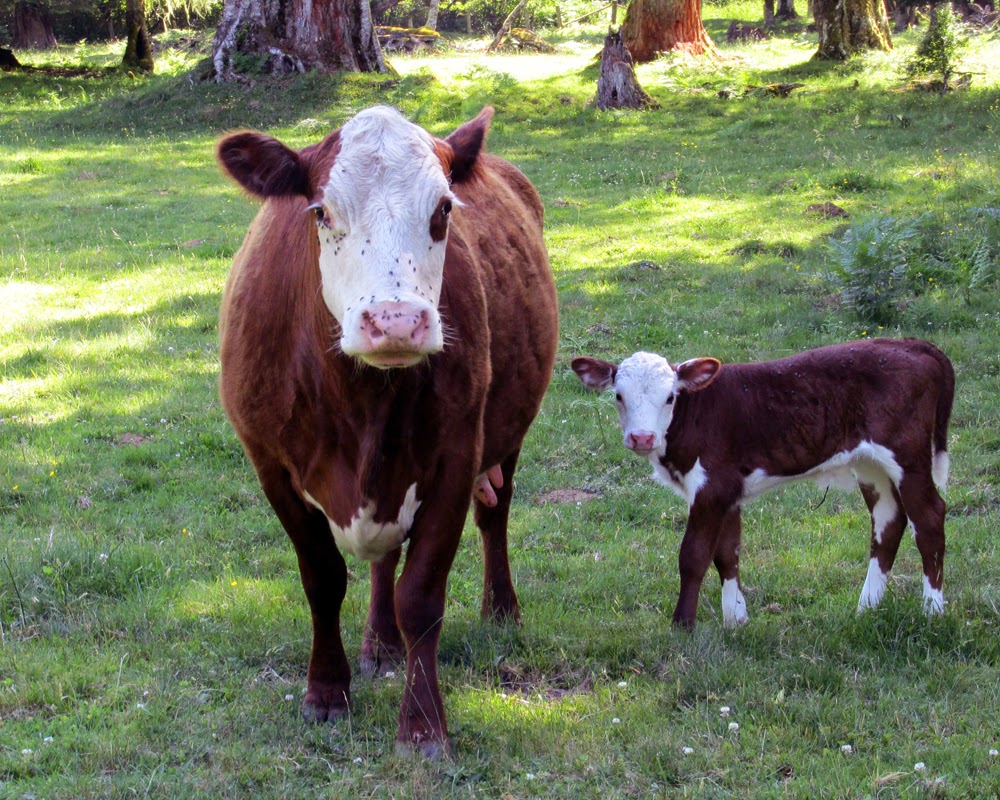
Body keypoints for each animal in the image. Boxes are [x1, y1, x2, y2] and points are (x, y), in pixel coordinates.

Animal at [216, 106, 558, 757]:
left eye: (444, 209)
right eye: (321, 211)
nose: (396, 321)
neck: (361, 403)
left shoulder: (455, 458)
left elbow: (420, 596)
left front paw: (423, 725)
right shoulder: (269, 464)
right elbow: (323, 578)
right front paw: (327, 690)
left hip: (506, 436)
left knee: (494, 517)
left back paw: (501, 609)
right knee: (382, 561)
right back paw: (379, 643)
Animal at [572, 339, 954, 629]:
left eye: (669, 397)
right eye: (618, 395)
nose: (641, 437)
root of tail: (911, 344)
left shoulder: (712, 485)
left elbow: (694, 555)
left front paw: (682, 625)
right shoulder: (728, 491)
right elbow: (727, 552)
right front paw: (735, 620)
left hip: (909, 457)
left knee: (929, 518)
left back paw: (933, 611)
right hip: (871, 465)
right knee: (888, 522)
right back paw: (866, 608)